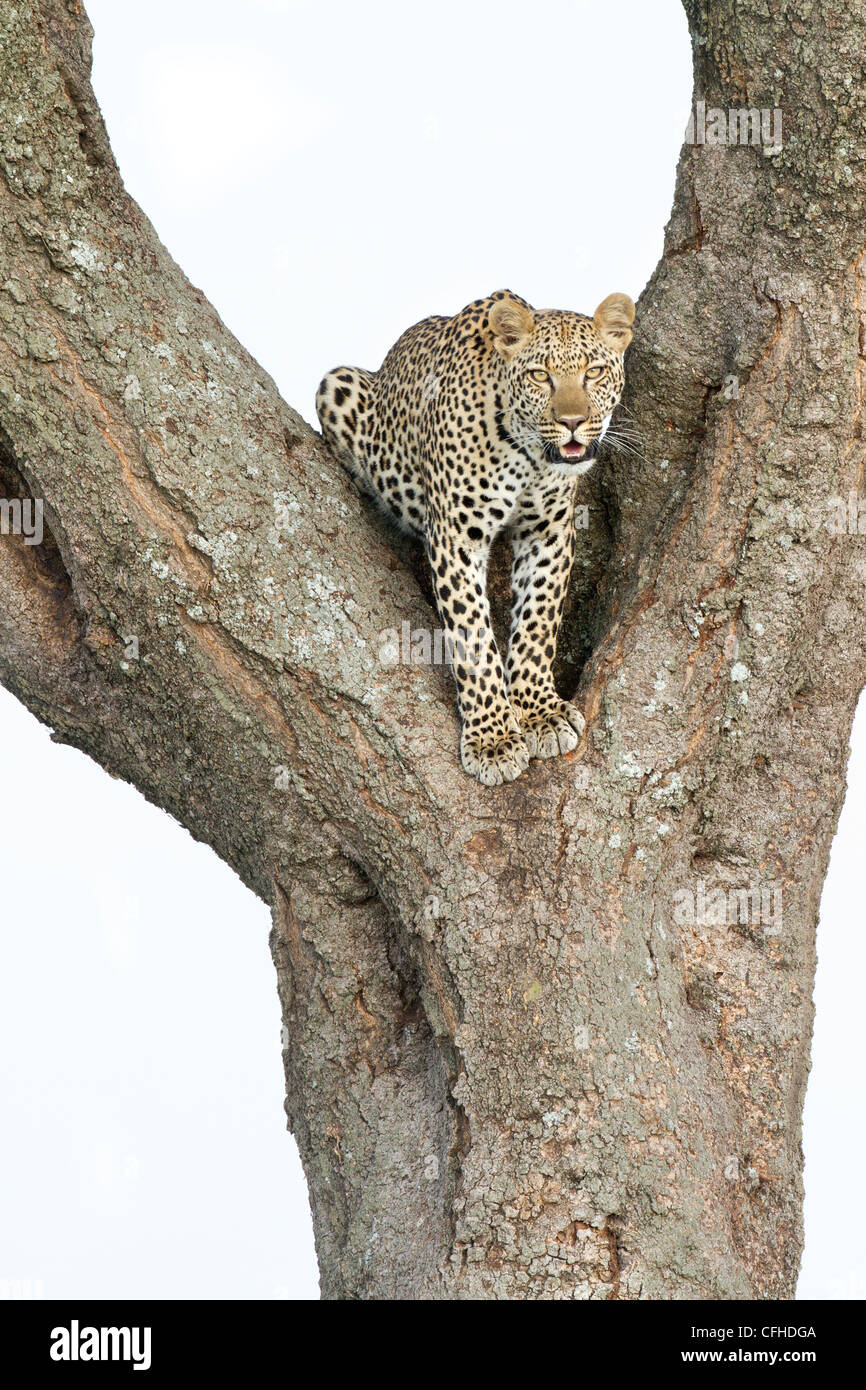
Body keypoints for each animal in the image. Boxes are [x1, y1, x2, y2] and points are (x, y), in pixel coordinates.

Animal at [316, 289, 635, 785]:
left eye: (594, 371)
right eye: (539, 376)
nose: (572, 422)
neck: (527, 456)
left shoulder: (548, 531)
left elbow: (538, 623)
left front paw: (539, 713)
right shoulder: (455, 538)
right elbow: (473, 638)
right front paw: (493, 740)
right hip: (338, 383)